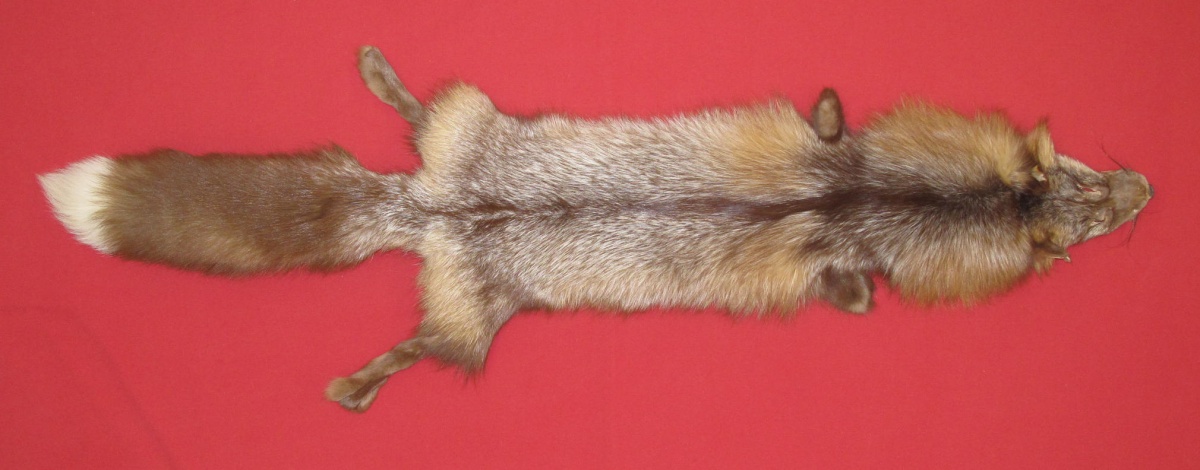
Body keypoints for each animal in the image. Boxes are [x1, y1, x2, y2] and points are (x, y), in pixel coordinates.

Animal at [38, 46, 1152, 412]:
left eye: (1086, 183)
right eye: (1086, 213)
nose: (1145, 184)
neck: (864, 199)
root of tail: (423, 210)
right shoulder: (837, 217)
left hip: (465, 136)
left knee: (421, 118)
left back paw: (383, 80)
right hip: (468, 318)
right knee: (424, 345)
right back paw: (360, 383)